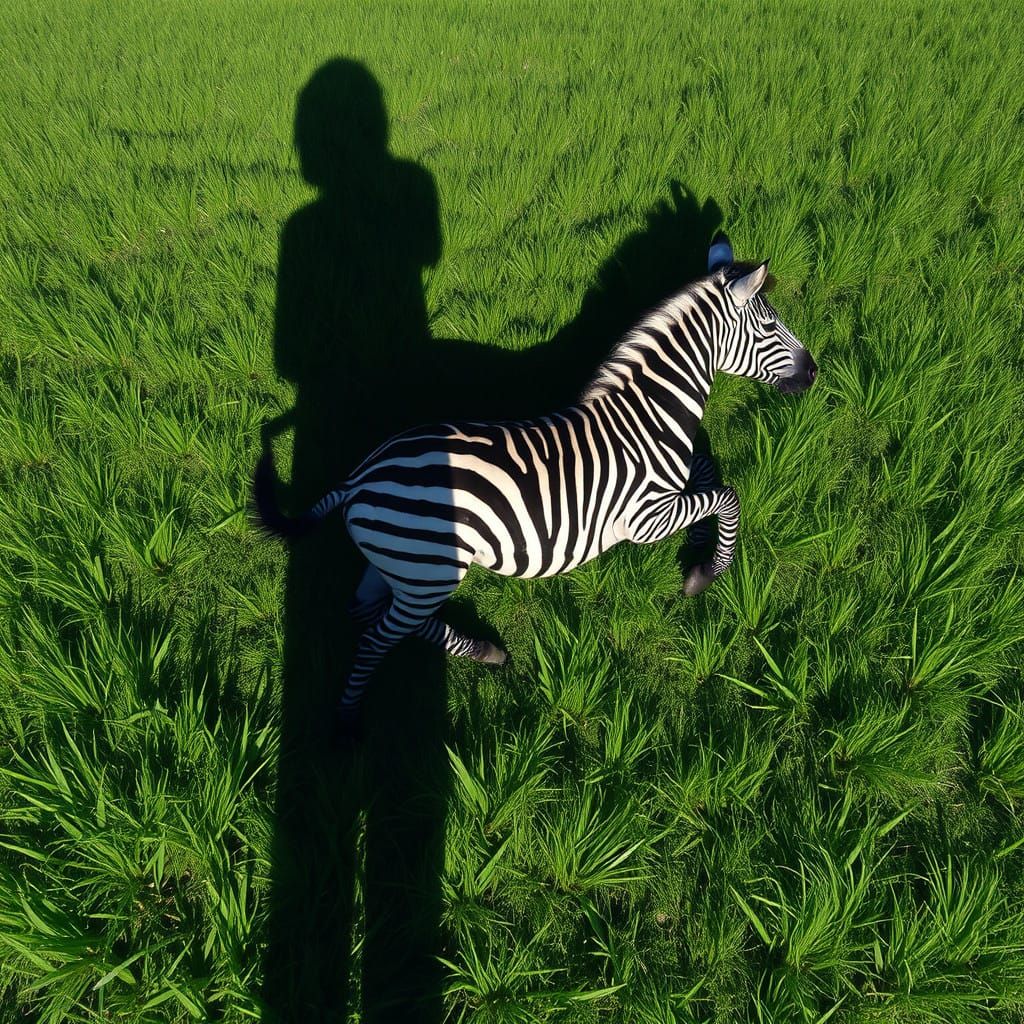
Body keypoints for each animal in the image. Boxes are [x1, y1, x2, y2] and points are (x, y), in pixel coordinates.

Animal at [254, 233, 817, 737]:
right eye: (770, 324)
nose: (813, 372)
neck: (648, 417)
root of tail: (359, 477)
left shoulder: (674, 486)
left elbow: (706, 476)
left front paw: (699, 549)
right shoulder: (643, 518)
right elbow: (726, 497)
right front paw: (704, 574)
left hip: (405, 566)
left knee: (373, 610)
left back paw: (485, 652)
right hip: (427, 569)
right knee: (378, 635)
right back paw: (350, 715)